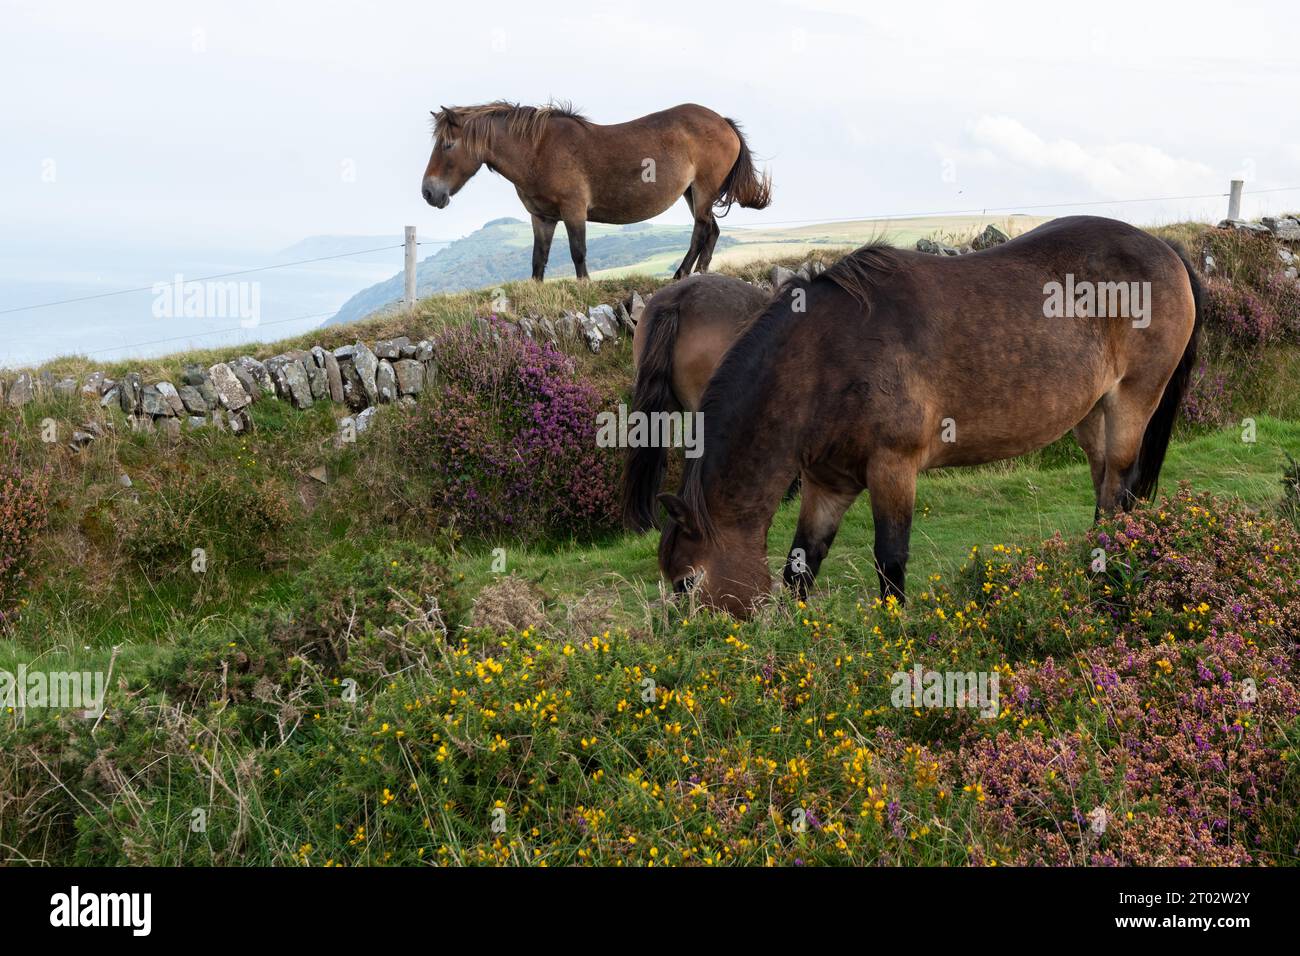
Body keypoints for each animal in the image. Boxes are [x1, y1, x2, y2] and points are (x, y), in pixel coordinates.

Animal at [420, 102, 771, 282]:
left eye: (448, 145)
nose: (428, 192)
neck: (538, 150)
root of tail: (723, 122)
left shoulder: (573, 211)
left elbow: (578, 252)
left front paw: (584, 285)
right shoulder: (542, 217)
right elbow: (538, 259)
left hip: (703, 190)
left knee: (701, 229)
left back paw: (681, 275)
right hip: (692, 193)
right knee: (712, 230)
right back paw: (700, 274)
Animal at [655, 216, 1203, 619]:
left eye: (687, 581)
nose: (701, 644)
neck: (827, 358)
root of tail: (1165, 248)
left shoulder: (893, 469)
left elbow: (890, 563)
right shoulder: (828, 484)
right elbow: (801, 566)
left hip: (1132, 401)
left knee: (1120, 492)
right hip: (1092, 415)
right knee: (1105, 492)